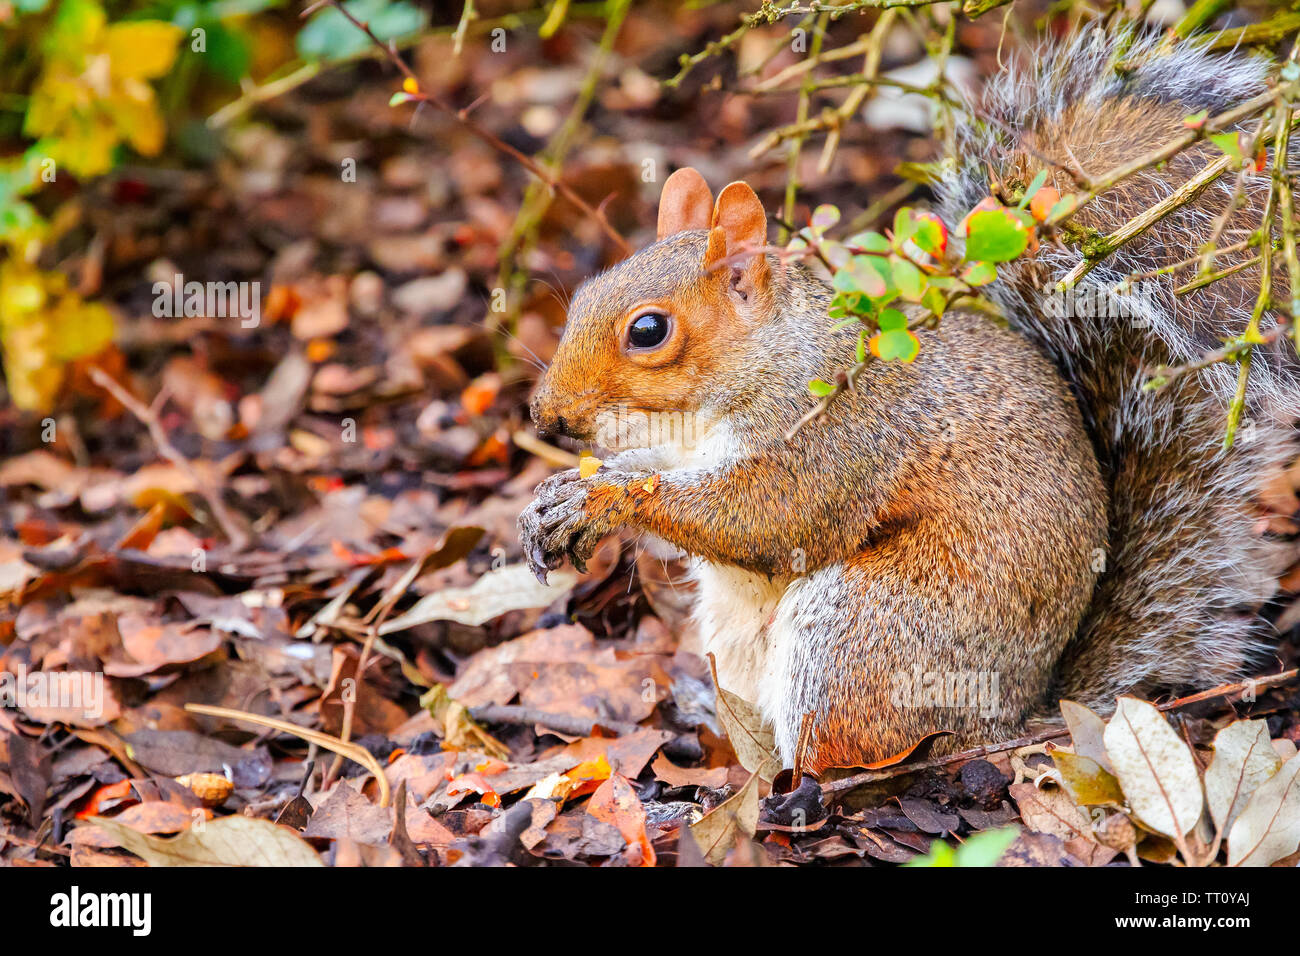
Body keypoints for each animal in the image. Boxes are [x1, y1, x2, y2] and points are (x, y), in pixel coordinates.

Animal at [518, 27, 1300, 772]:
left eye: (648, 330)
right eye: (583, 295)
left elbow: (767, 516)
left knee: (850, 742)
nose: (545, 414)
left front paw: (606, 496)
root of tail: (1021, 711)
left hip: (868, 627)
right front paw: (560, 495)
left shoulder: (835, 431)